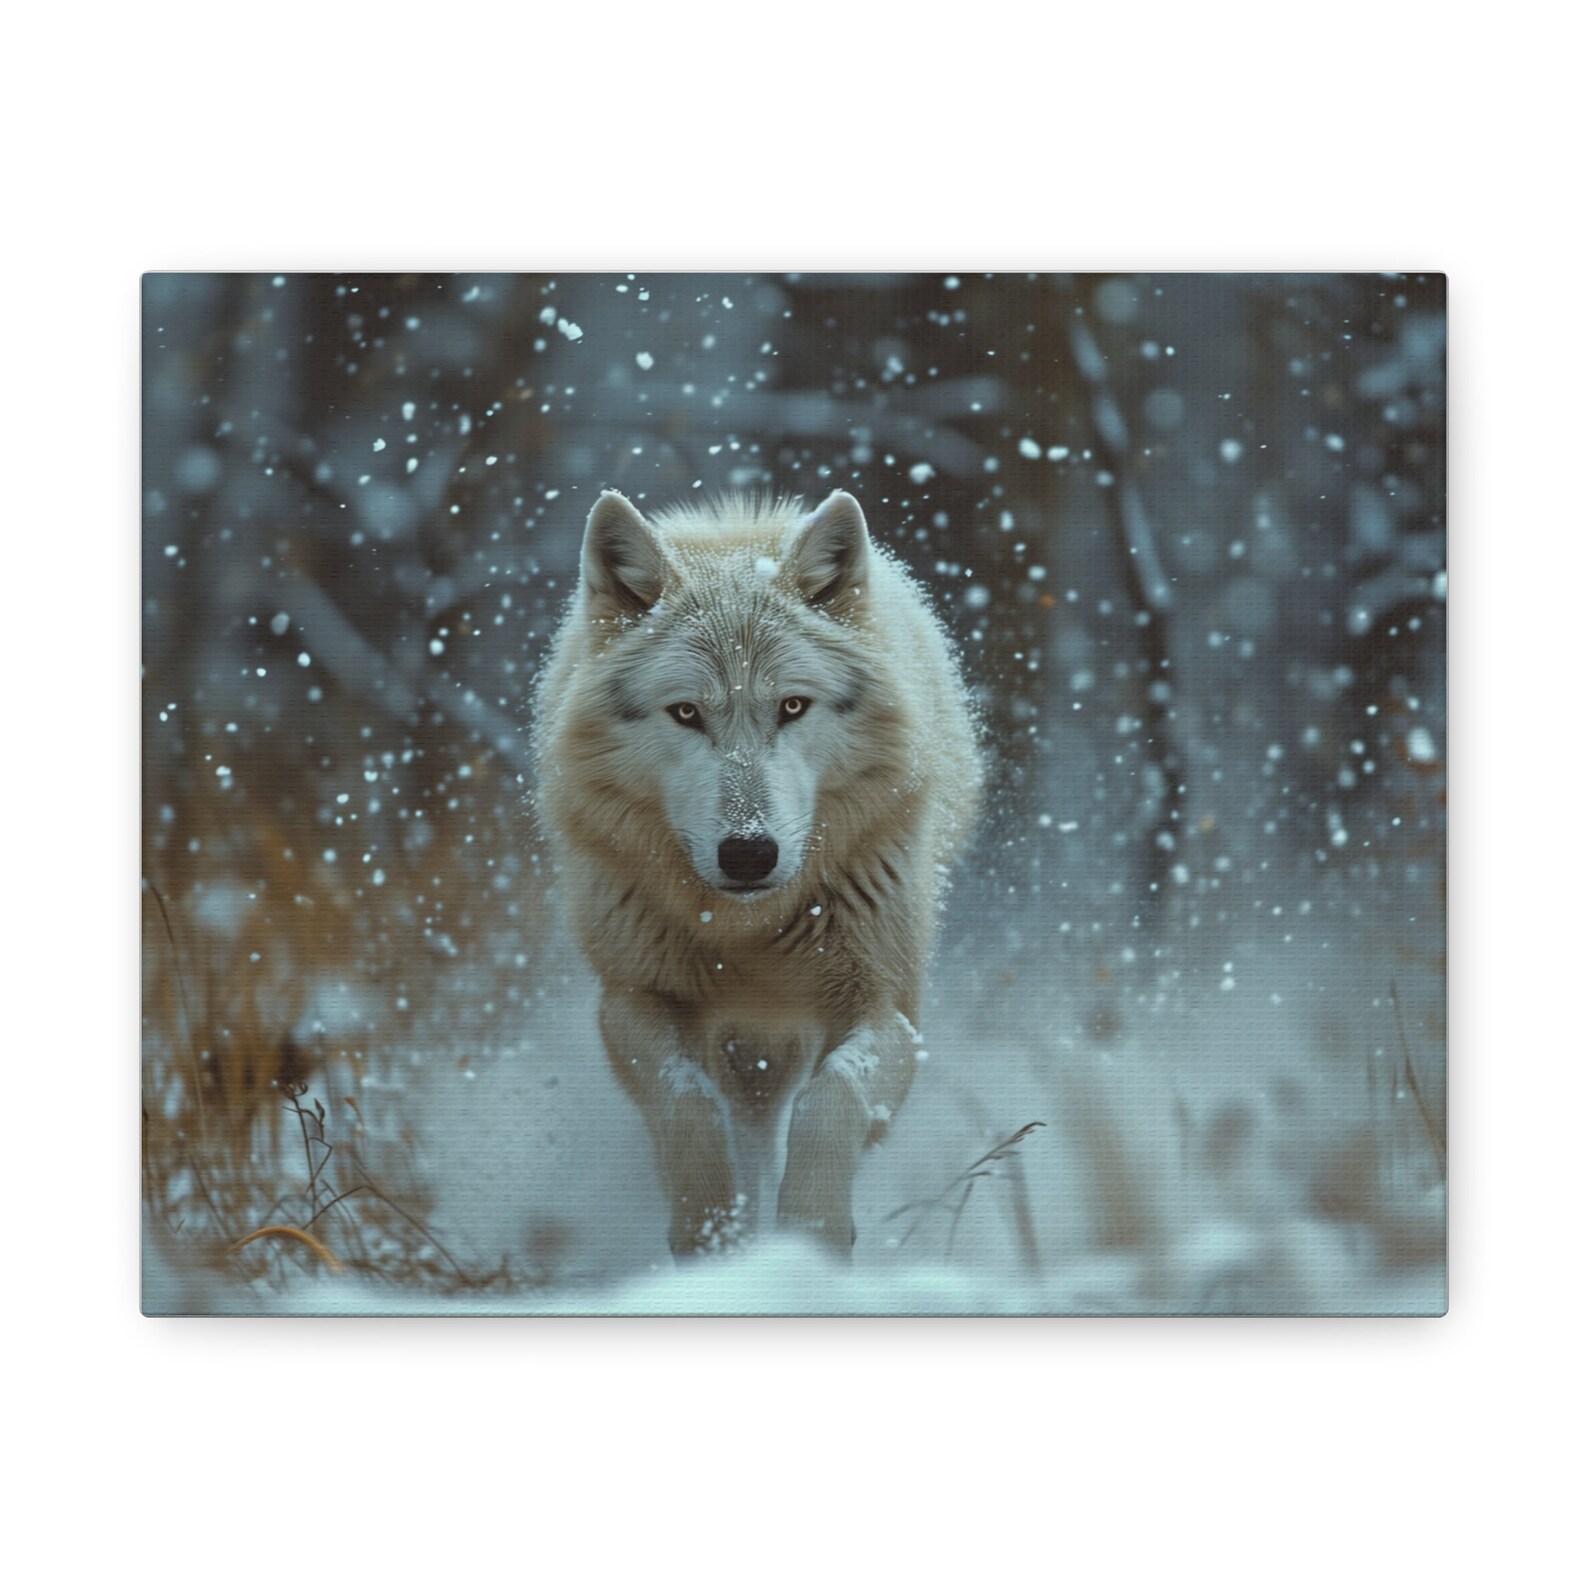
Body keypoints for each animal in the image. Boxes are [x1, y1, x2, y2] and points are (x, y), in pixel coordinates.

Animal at [533, 489, 982, 1256]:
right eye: (687, 712)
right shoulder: (631, 1000)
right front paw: (713, 1238)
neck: (748, 929)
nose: (749, 852)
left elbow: (831, 1099)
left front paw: (809, 1236)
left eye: (792, 706)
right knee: (744, 1128)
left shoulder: (887, 1008)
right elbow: (686, 1102)